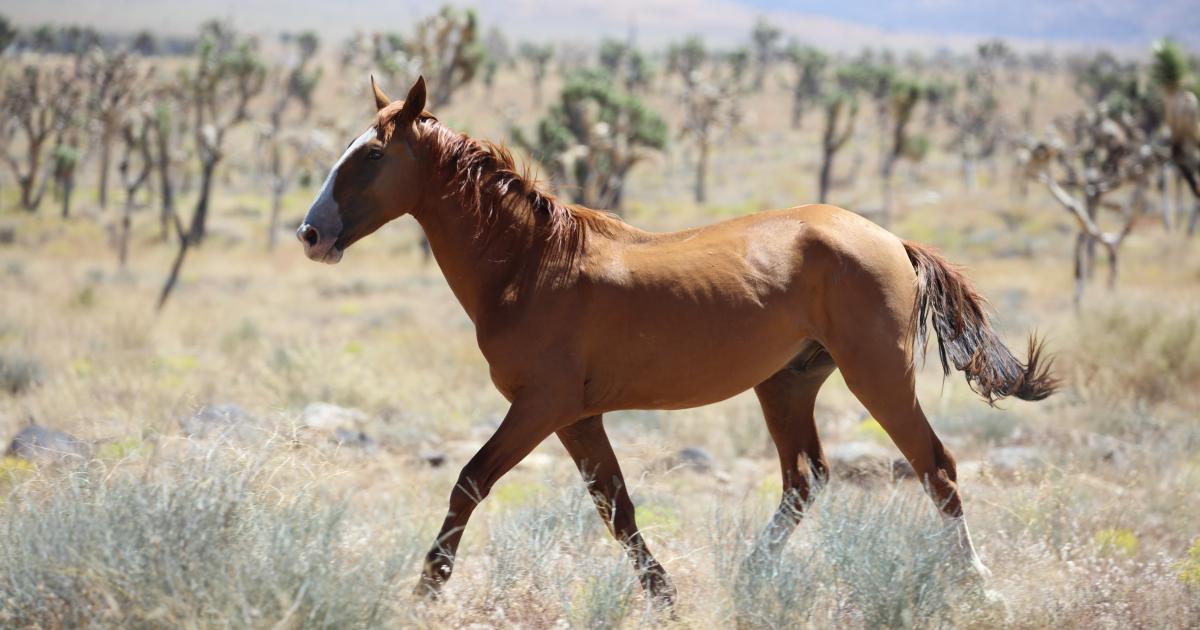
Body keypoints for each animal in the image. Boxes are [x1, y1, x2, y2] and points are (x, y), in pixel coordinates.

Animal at [296, 76, 1058, 607]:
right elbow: (617, 507)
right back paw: (751, 577)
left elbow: (470, 482)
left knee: (936, 468)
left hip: (878, 376)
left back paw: (981, 587)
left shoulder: (540, 408)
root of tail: (890, 239)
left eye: (370, 154)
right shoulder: (577, 418)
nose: (310, 233)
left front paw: (426, 589)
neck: (532, 264)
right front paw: (663, 595)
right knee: (806, 479)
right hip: (788, 384)